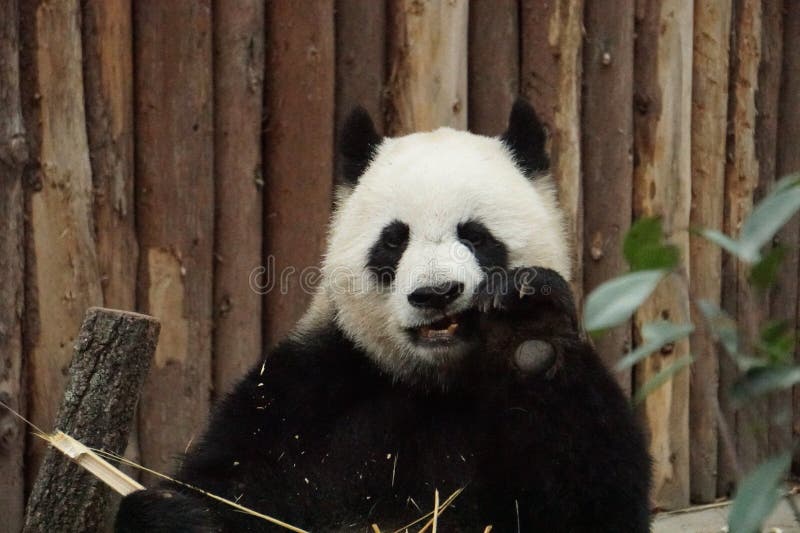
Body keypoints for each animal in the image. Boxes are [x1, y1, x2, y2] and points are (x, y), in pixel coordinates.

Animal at [116, 100, 651, 533]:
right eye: (394, 240)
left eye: (476, 235)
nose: (436, 292)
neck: (435, 382)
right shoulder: (306, 391)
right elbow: (225, 483)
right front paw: (175, 514)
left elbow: (599, 500)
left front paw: (529, 336)